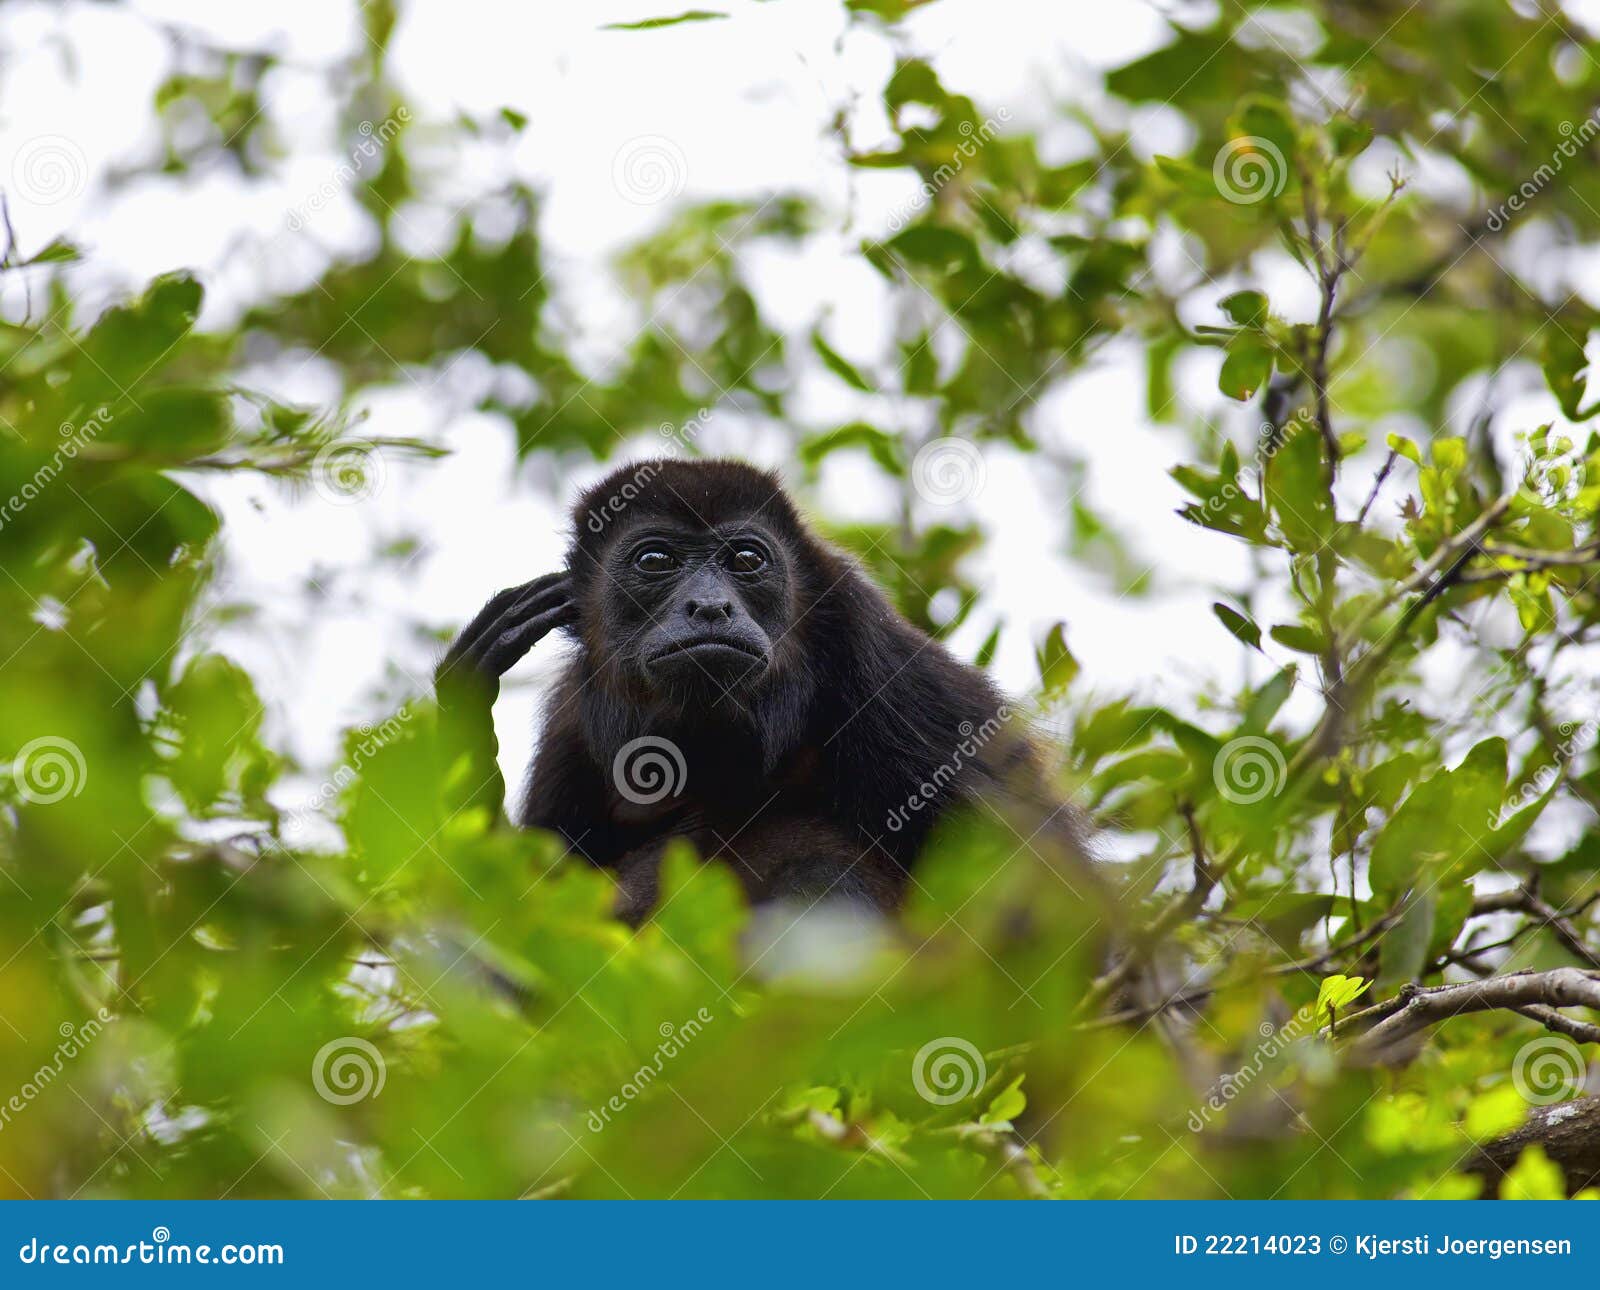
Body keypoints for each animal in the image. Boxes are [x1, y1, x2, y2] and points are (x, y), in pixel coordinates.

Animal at [434, 458, 1093, 925]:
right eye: (655, 560)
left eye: (746, 558)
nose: (710, 607)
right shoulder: (572, 721)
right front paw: (462, 735)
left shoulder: (879, 657)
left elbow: (1040, 881)